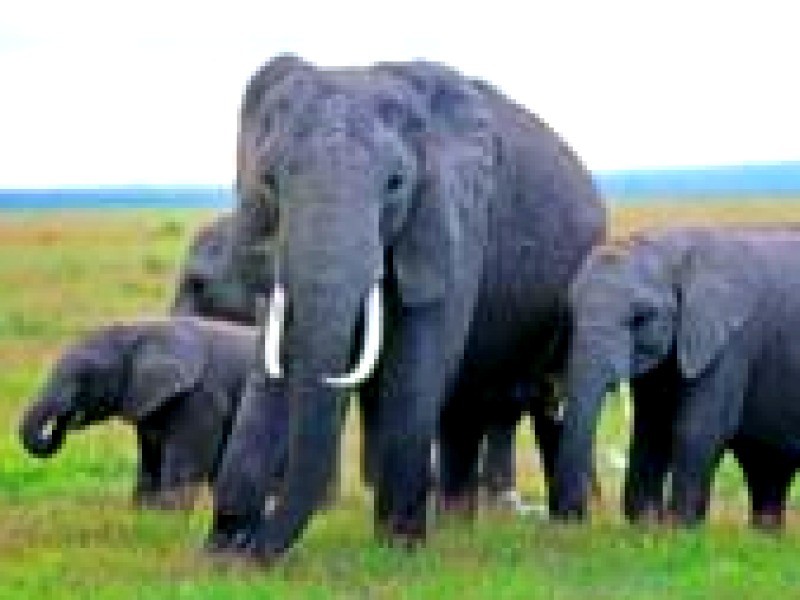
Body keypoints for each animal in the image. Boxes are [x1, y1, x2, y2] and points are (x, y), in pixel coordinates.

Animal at [20, 317, 260, 509]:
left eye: (86, 377)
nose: (67, 418)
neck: (141, 330)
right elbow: (150, 461)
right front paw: (144, 517)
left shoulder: (202, 399)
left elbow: (184, 467)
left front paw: (167, 523)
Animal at [206, 55, 606, 560]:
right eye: (268, 182)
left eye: (396, 185)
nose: (251, 542)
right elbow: (272, 360)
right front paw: (221, 555)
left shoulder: (456, 217)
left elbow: (417, 363)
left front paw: (396, 551)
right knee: (464, 409)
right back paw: (457, 527)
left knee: (549, 401)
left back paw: (569, 528)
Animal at [553, 227, 800, 528]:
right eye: (571, 314)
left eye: (641, 318)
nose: (573, 519)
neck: (673, 250)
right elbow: (651, 429)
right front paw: (646, 524)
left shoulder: (730, 344)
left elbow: (699, 428)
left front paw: (680, 527)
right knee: (768, 468)